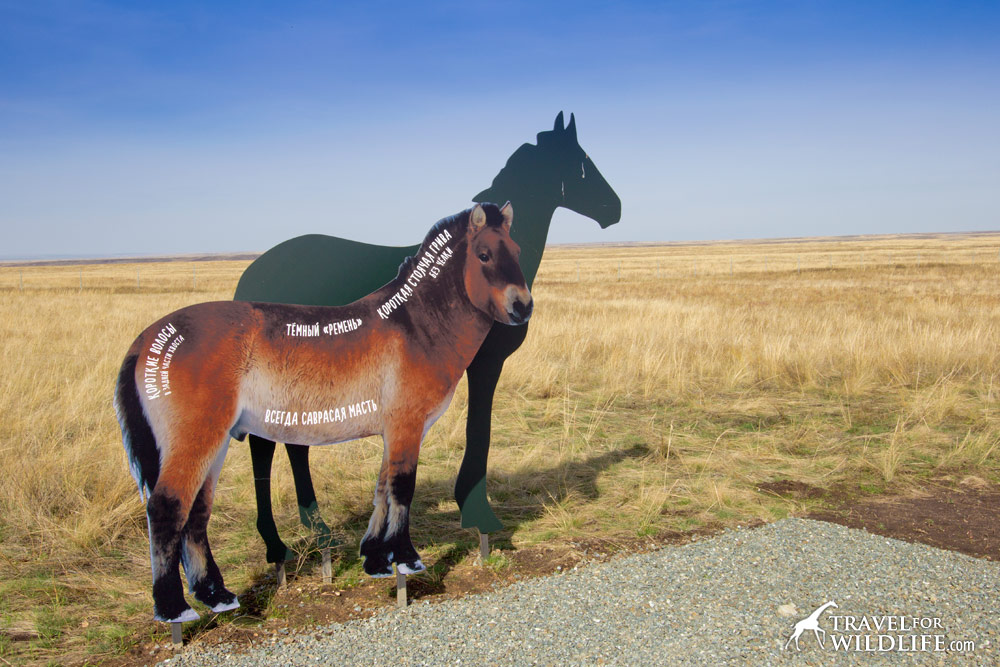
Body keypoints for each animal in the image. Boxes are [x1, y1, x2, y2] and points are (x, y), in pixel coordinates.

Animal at [114, 203, 531, 623]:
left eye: (517, 250)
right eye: (484, 255)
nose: (522, 306)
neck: (414, 327)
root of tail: (150, 338)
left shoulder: (392, 430)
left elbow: (382, 489)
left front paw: (376, 559)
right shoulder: (406, 427)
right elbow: (401, 488)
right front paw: (407, 559)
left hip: (213, 444)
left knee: (197, 513)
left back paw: (216, 595)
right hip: (197, 438)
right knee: (166, 508)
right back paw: (174, 607)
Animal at [234, 112, 620, 564]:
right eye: (582, 163)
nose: (614, 208)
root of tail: (252, 274)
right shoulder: (485, 365)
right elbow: (479, 432)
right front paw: (477, 513)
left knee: (294, 444)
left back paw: (318, 530)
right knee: (266, 448)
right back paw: (278, 545)